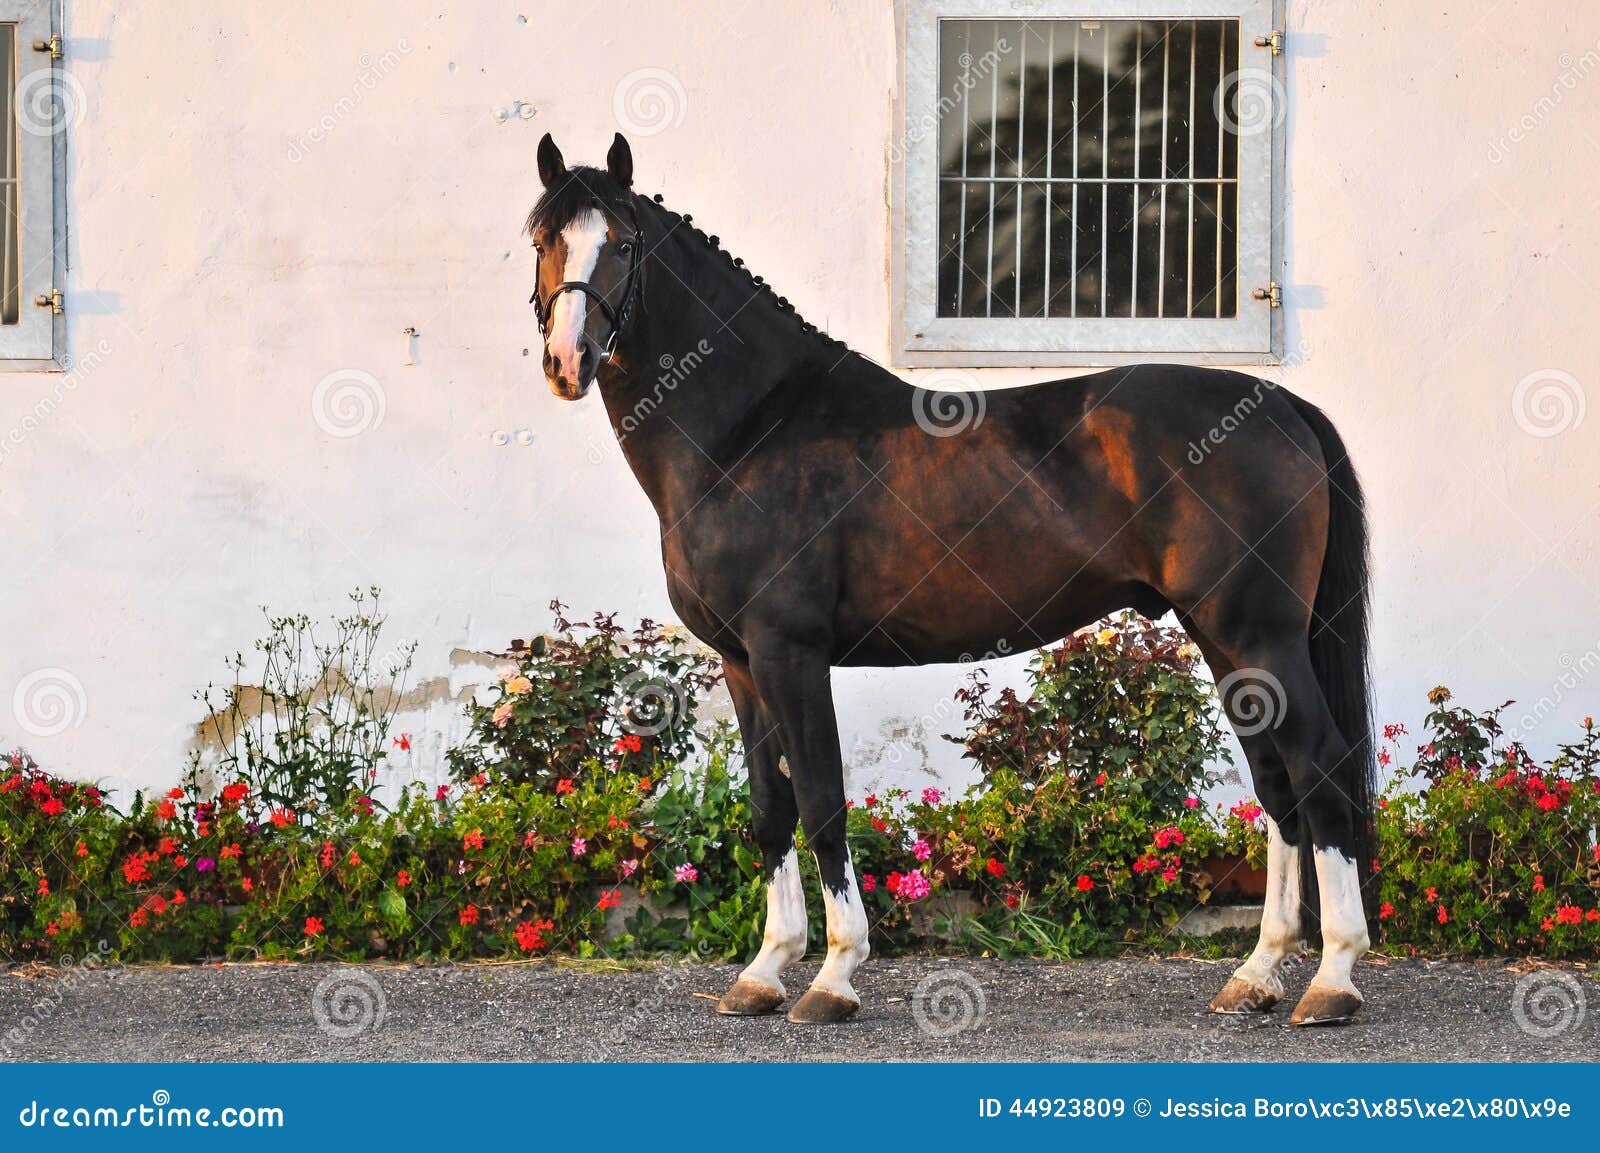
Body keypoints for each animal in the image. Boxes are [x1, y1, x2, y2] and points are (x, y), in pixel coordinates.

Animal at [526, 132, 1375, 1027]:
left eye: (624, 242)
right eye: (544, 239)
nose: (568, 361)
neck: (752, 430)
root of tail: (1281, 405)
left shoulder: (792, 652)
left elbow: (822, 799)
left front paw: (834, 975)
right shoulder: (742, 661)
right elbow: (769, 808)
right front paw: (763, 971)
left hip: (1259, 634)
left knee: (1319, 766)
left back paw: (1332, 978)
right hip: (1226, 640)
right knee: (1278, 783)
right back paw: (1258, 972)